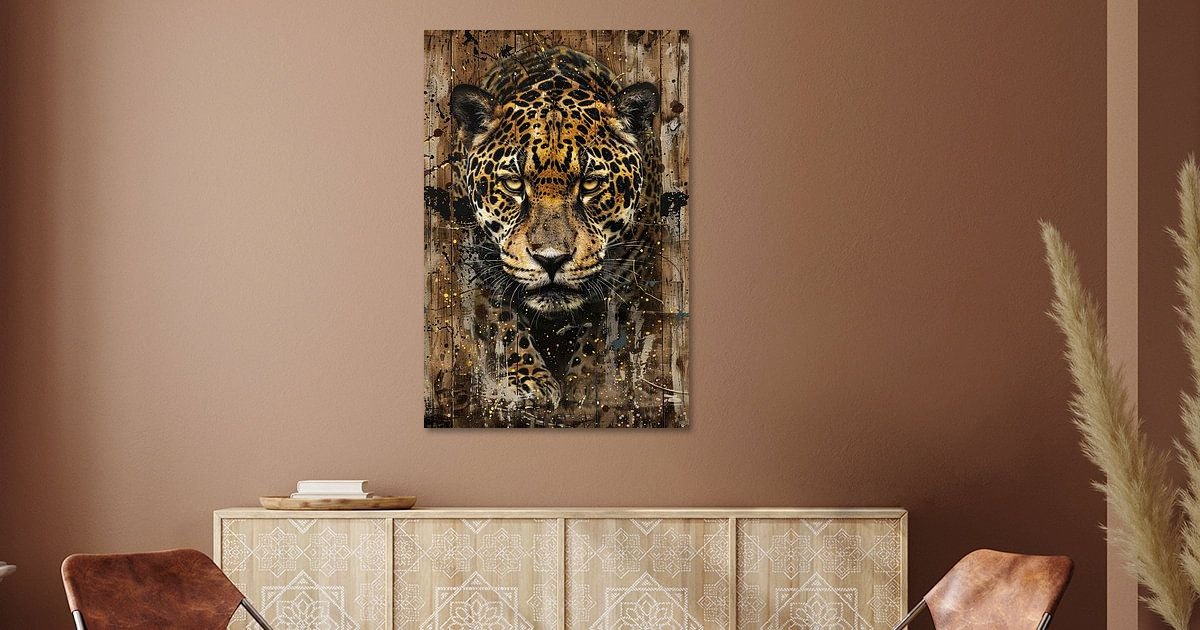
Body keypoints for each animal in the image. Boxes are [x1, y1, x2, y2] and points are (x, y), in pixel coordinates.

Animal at [447, 44, 665, 421]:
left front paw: (587, 385)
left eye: (590, 184)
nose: (551, 260)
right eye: (514, 183)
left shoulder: (624, 282)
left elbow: (600, 337)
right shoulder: (483, 266)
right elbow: (505, 326)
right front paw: (528, 383)